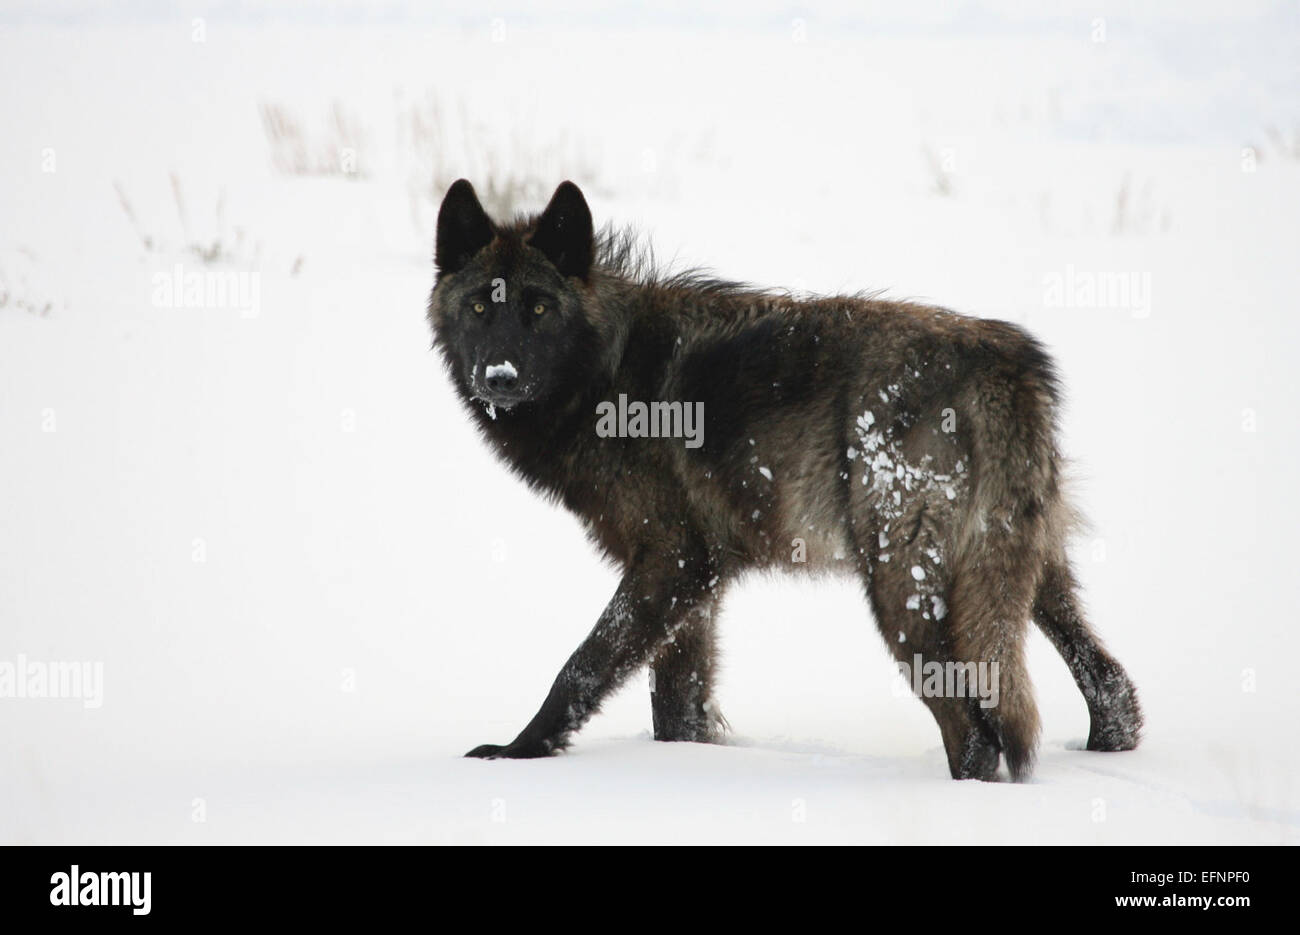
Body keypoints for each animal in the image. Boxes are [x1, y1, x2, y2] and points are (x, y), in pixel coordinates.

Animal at [427, 178, 1142, 780]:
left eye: (539, 308)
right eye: (478, 307)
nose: (499, 376)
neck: (606, 374)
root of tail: (1003, 363)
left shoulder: (671, 561)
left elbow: (581, 667)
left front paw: (516, 752)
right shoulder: (698, 582)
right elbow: (677, 708)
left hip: (902, 591)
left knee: (974, 732)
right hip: (1026, 574)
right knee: (1111, 685)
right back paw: (1108, 745)